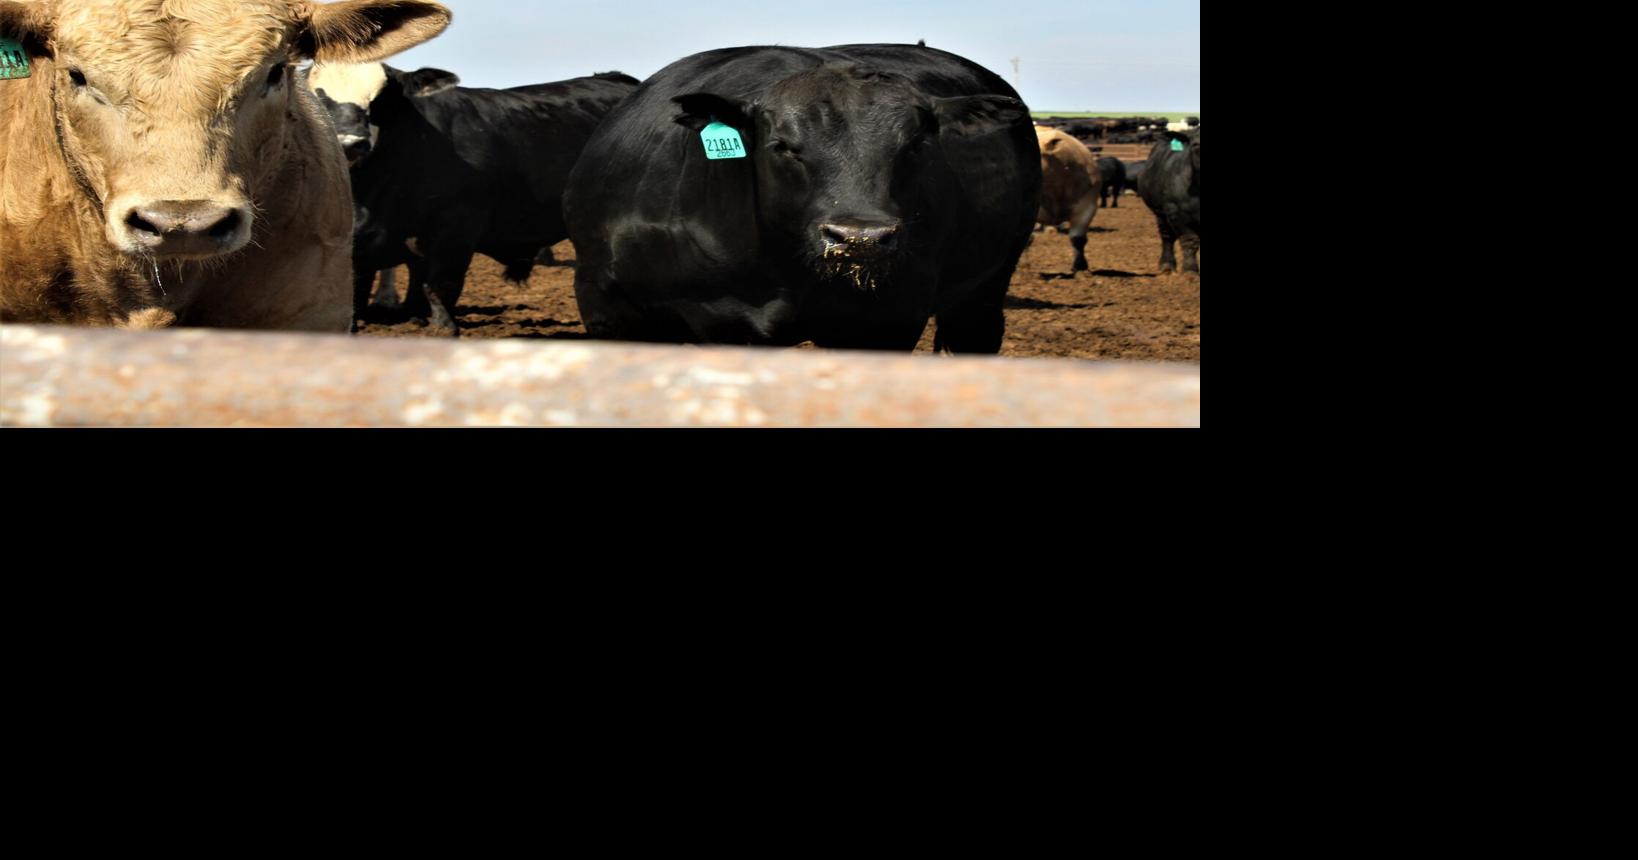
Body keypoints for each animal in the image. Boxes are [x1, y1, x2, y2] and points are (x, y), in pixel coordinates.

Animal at [305, 62, 640, 334]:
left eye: (381, 97)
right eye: (318, 96)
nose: (348, 143)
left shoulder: (455, 228)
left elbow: (440, 286)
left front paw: (442, 329)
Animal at [563, 44, 1040, 353]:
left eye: (917, 144)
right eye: (782, 146)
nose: (861, 239)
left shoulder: (888, 319)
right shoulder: (609, 305)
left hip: (986, 289)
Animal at [1137, 129, 1200, 274]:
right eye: (1195, 144)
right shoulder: (1177, 212)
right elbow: (1189, 240)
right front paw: (1190, 270)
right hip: (1160, 213)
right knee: (1167, 237)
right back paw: (1166, 265)